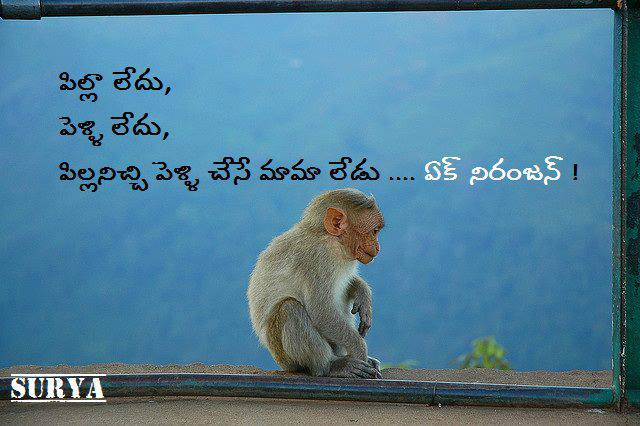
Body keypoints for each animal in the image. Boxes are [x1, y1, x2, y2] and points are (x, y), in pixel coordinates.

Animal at [247, 188, 384, 379]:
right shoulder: (317, 258)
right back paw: (331, 365)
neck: (331, 239)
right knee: (289, 308)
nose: (378, 247)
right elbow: (322, 312)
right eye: (374, 231)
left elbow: (347, 285)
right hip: (284, 356)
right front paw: (359, 350)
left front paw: (362, 294)